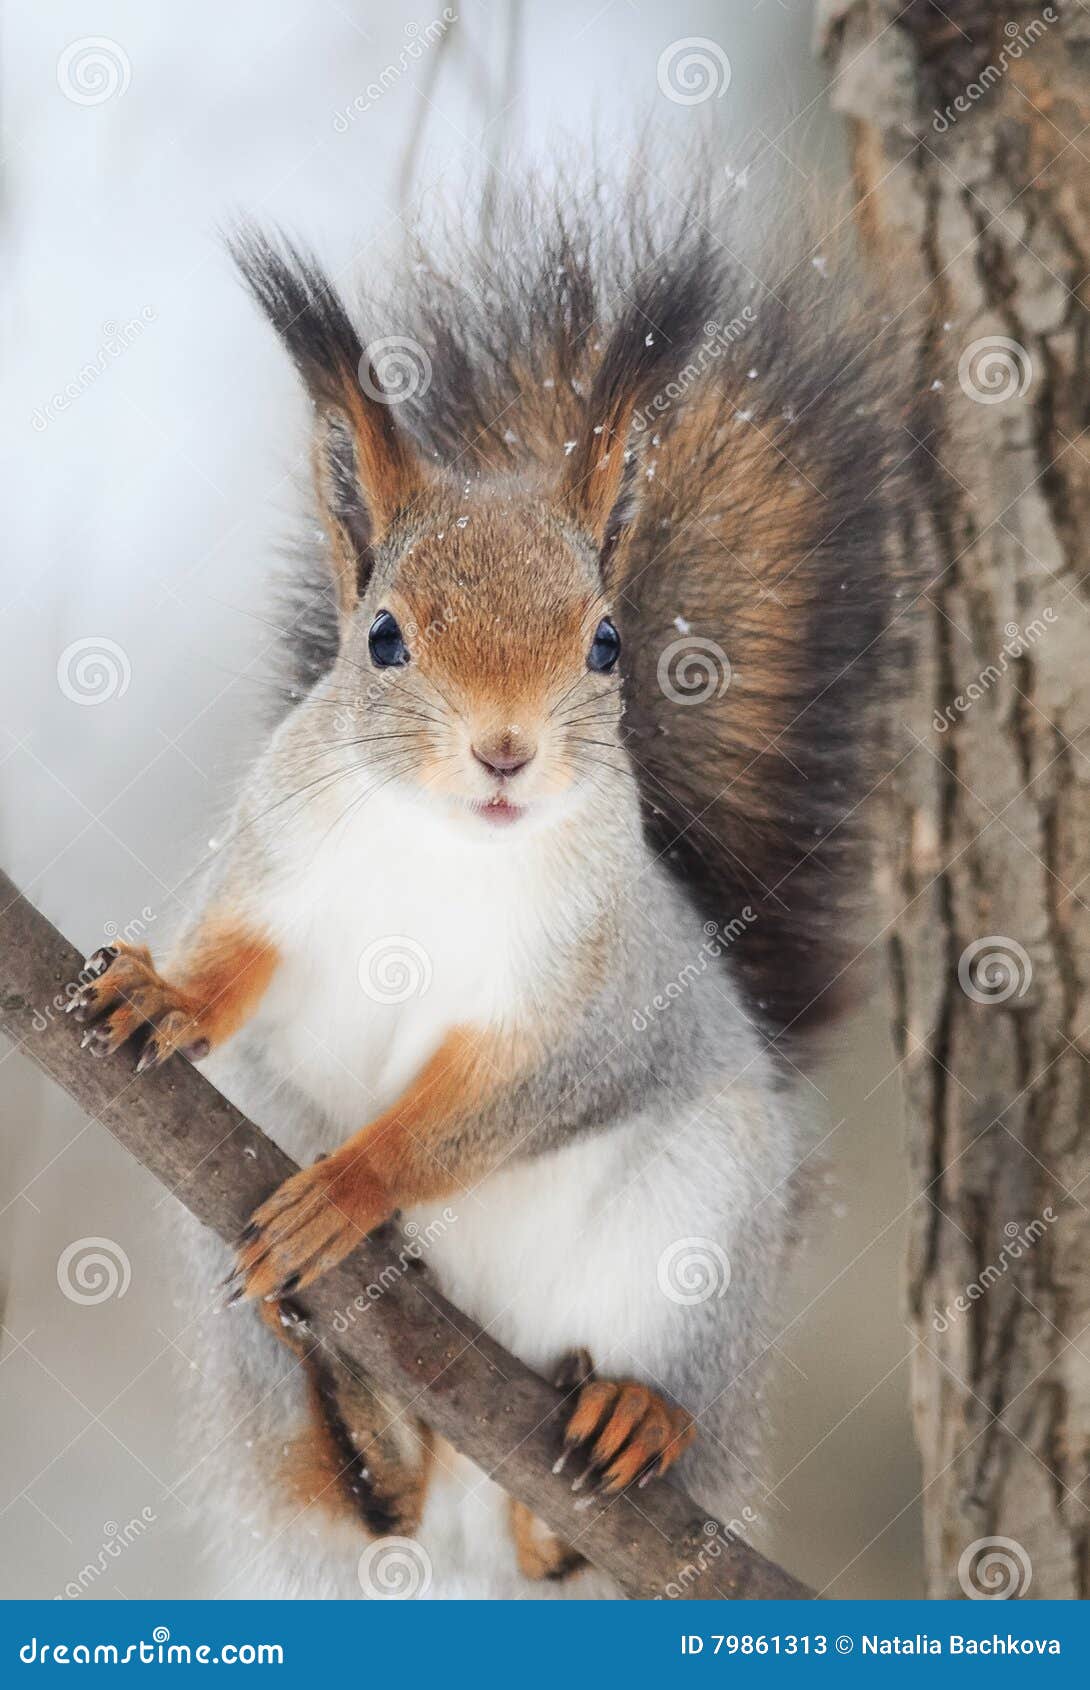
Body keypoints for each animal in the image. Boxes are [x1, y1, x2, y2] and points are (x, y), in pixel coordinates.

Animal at [71, 172, 919, 1599]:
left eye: (607, 641)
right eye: (383, 638)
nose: (505, 752)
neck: (447, 843)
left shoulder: (584, 993)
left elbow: (491, 1101)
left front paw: (353, 1188)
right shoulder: (276, 860)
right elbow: (239, 953)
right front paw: (167, 991)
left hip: (698, 1231)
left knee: (580, 1500)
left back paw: (625, 1425)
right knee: (377, 1497)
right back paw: (365, 1417)